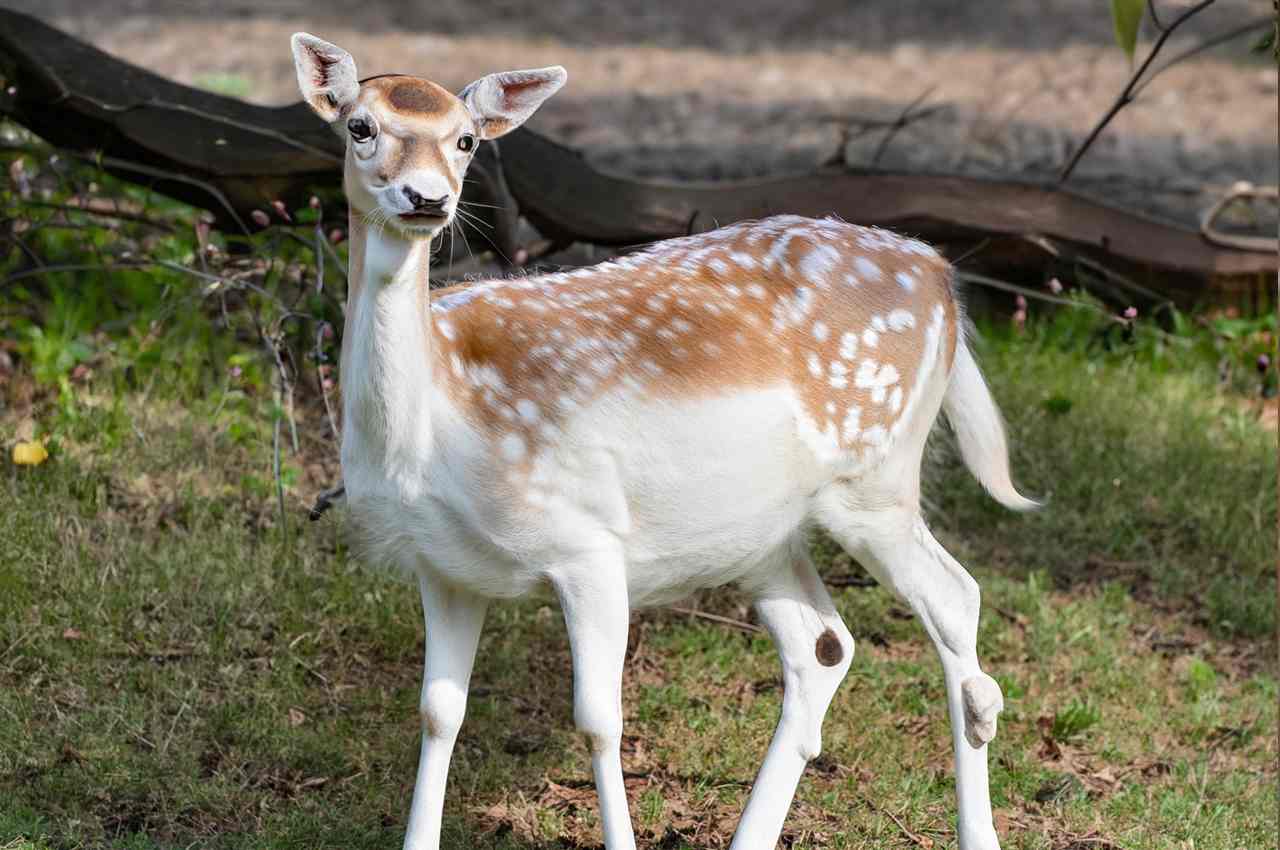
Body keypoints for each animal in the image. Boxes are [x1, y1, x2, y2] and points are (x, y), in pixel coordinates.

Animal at [291, 32, 1035, 850]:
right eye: (360, 126)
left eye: (465, 140)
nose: (428, 198)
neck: (435, 429)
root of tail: (942, 277)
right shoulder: (446, 565)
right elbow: (437, 714)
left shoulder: (587, 544)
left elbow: (598, 723)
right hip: (763, 535)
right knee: (823, 643)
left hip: (877, 477)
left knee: (956, 600)